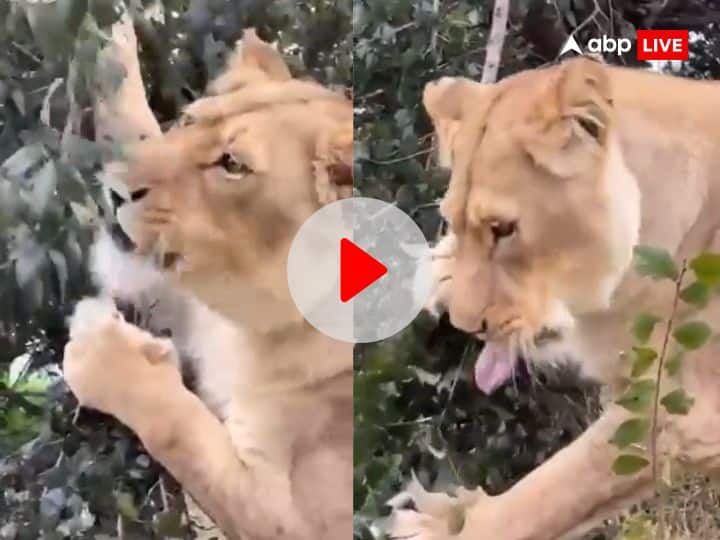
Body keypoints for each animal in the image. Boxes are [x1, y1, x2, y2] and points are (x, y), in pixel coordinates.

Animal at [63, 29, 352, 540]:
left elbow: (176, 428)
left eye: (232, 164)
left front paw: (102, 351)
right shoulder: (191, 303)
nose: (115, 189)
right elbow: (127, 110)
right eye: (187, 120)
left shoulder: (307, 520)